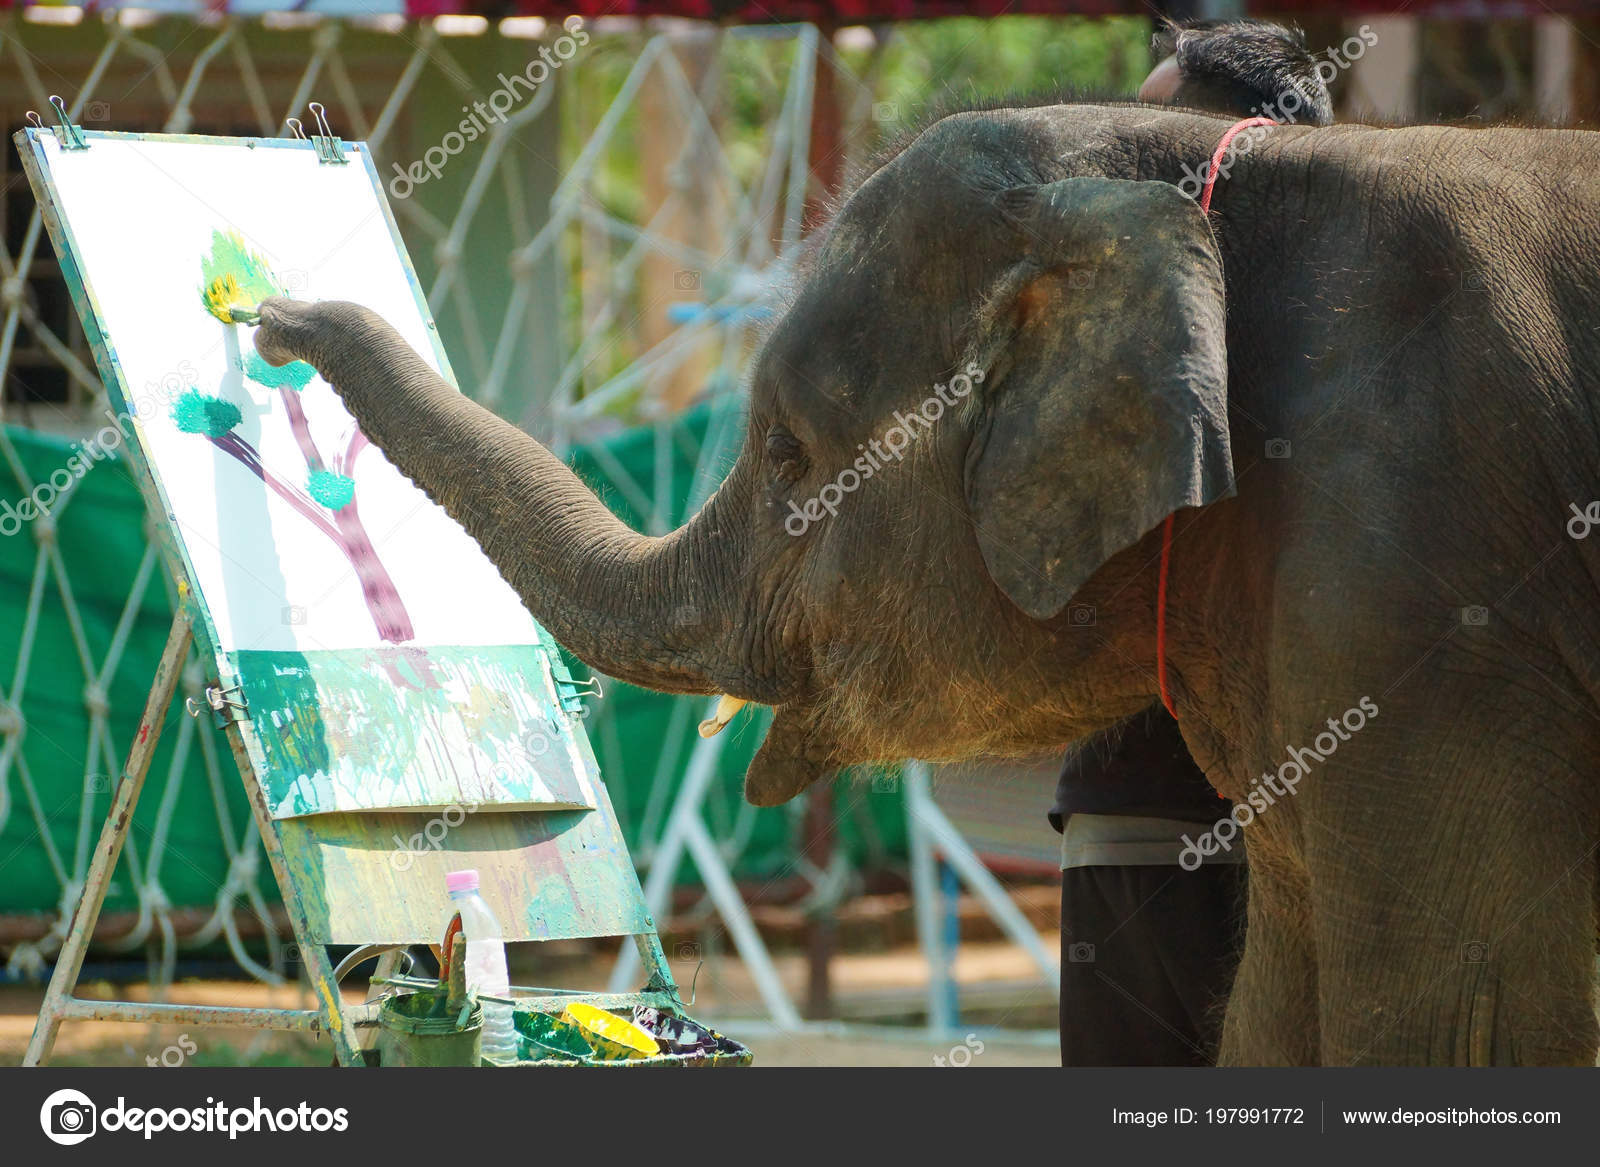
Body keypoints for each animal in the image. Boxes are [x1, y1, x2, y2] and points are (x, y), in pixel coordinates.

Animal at [254, 101, 1600, 1065]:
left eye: (789, 455)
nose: (270, 318)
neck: (1188, 191)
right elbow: (1274, 1006)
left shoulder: (1421, 590)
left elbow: (1444, 1020)